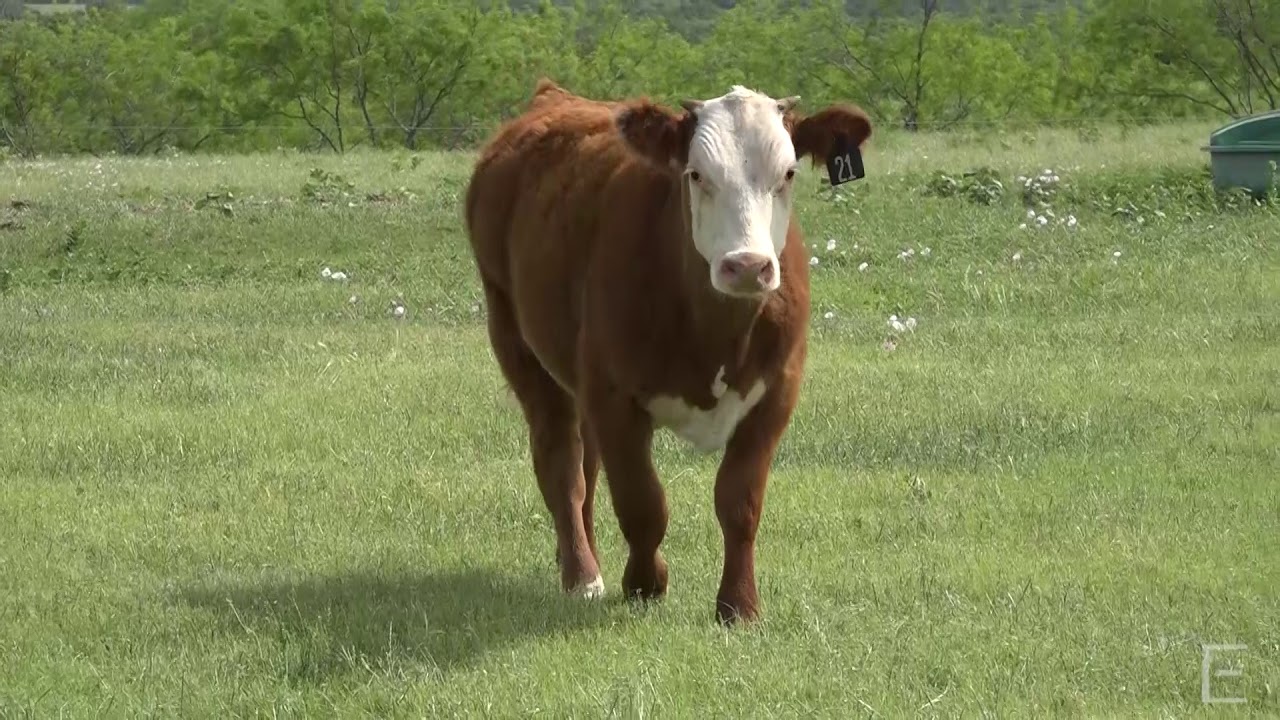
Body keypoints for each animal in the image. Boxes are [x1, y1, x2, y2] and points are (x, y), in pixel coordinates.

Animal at [463, 79, 871, 625]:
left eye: (787, 173)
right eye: (696, 174)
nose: (747, 266)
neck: (715, 335)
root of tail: (553, 96)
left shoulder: (777, 393)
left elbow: (739, 501)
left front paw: (738, 605)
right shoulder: (615, 397)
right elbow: (643, 503)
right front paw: (644, 583)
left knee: (586, 466)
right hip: (516, 340)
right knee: (562, 464)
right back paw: (582, 575)